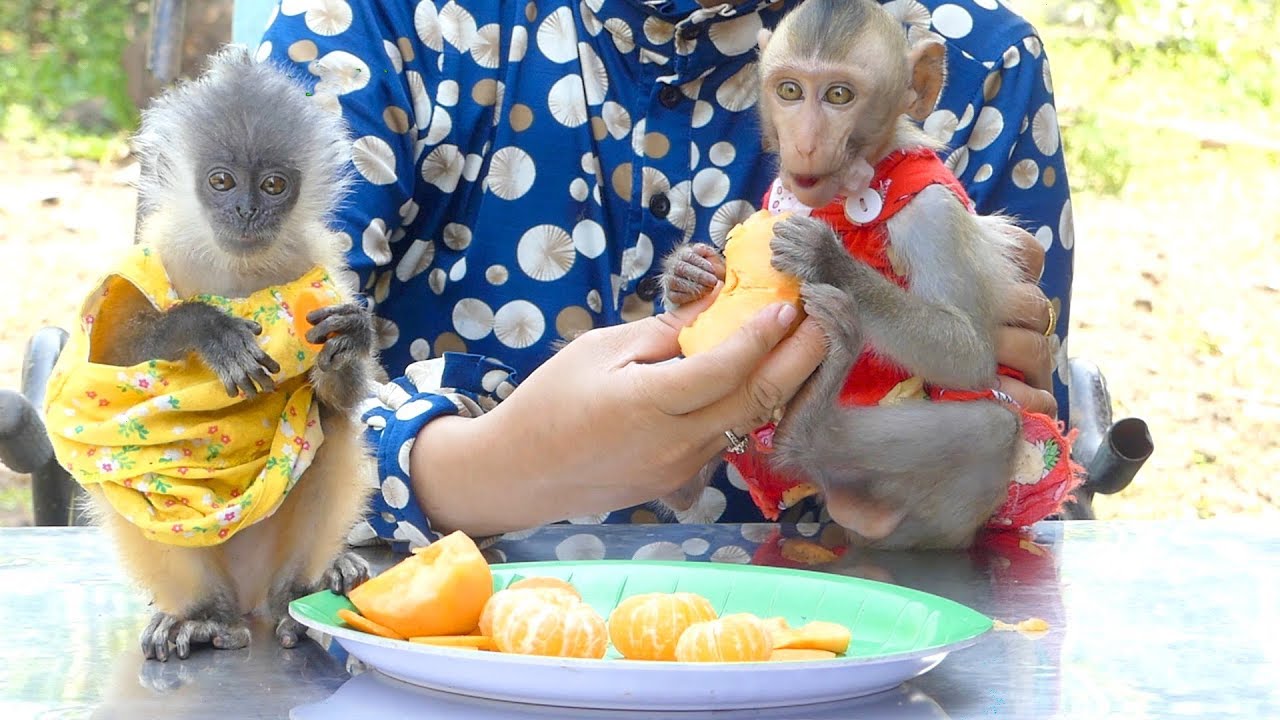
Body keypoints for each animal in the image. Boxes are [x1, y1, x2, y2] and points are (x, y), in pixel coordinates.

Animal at [43, 46, 378, 660]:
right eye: (221, 181)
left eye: (273, 185)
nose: (246, 209)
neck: (239, 272)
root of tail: (247, 596)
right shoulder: (160, 244)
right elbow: (104, 358)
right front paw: (210, 331)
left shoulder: (321, 262)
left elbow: (340, 395)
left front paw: (349, 342)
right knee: (128, 477)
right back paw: (201, 616)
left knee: (330, 422)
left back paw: (297, 597)